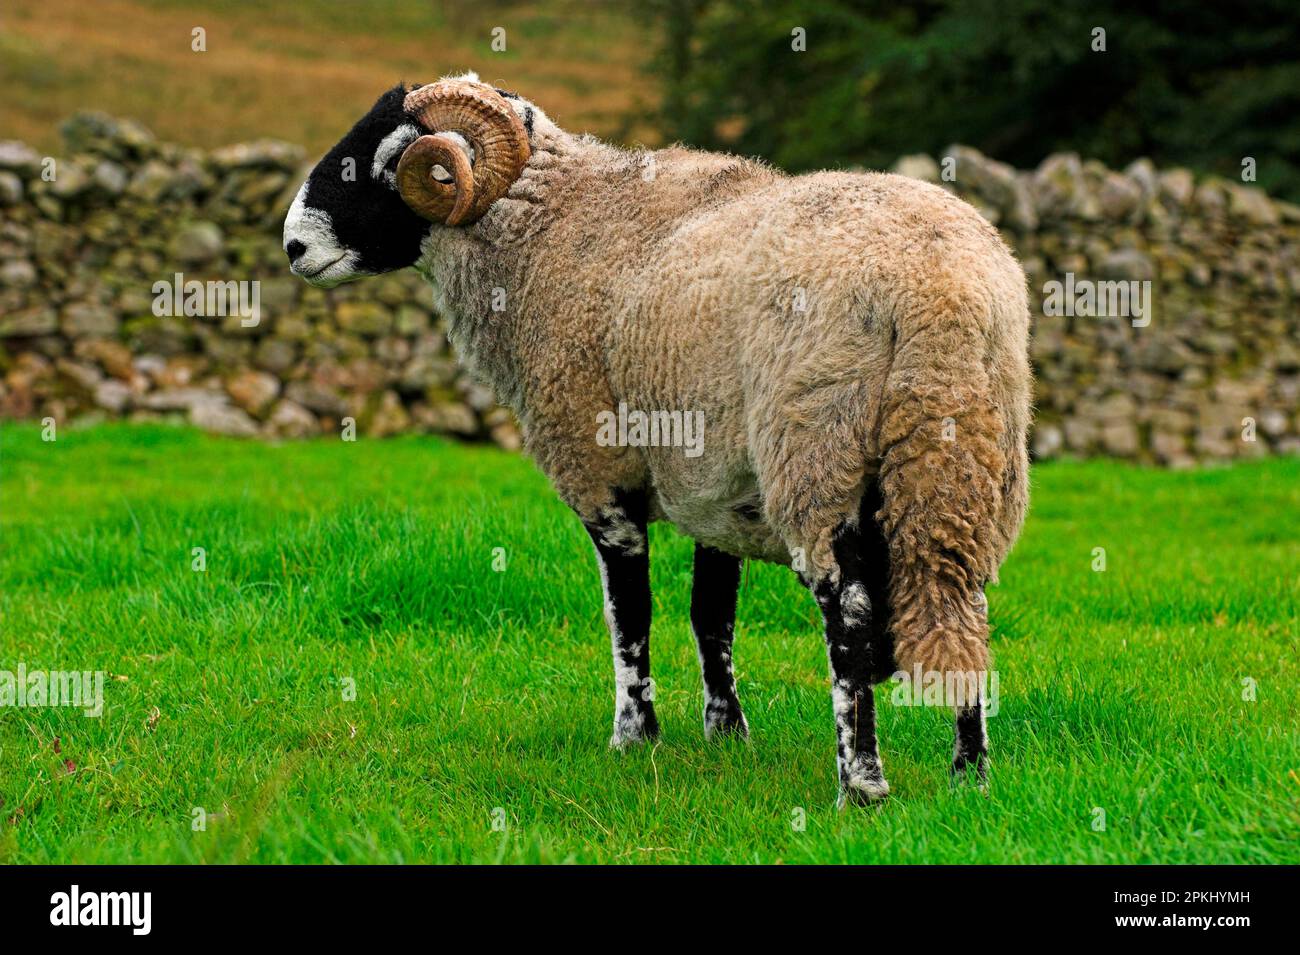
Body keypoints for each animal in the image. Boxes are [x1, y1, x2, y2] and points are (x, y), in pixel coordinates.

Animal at [283, 72, 1032, 804]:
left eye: (388, 161)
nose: (293, 247)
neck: (553, 229)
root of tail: (937, 296)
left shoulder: (598, 467)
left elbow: (629, 613)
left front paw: (634, 736)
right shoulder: (714, 482)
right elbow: (711, 614)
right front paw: (726, 734)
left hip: (819, 447)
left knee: (847, 608)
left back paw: (862, 783)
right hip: (965, 456)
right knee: (959, 600)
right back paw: (970, 776)